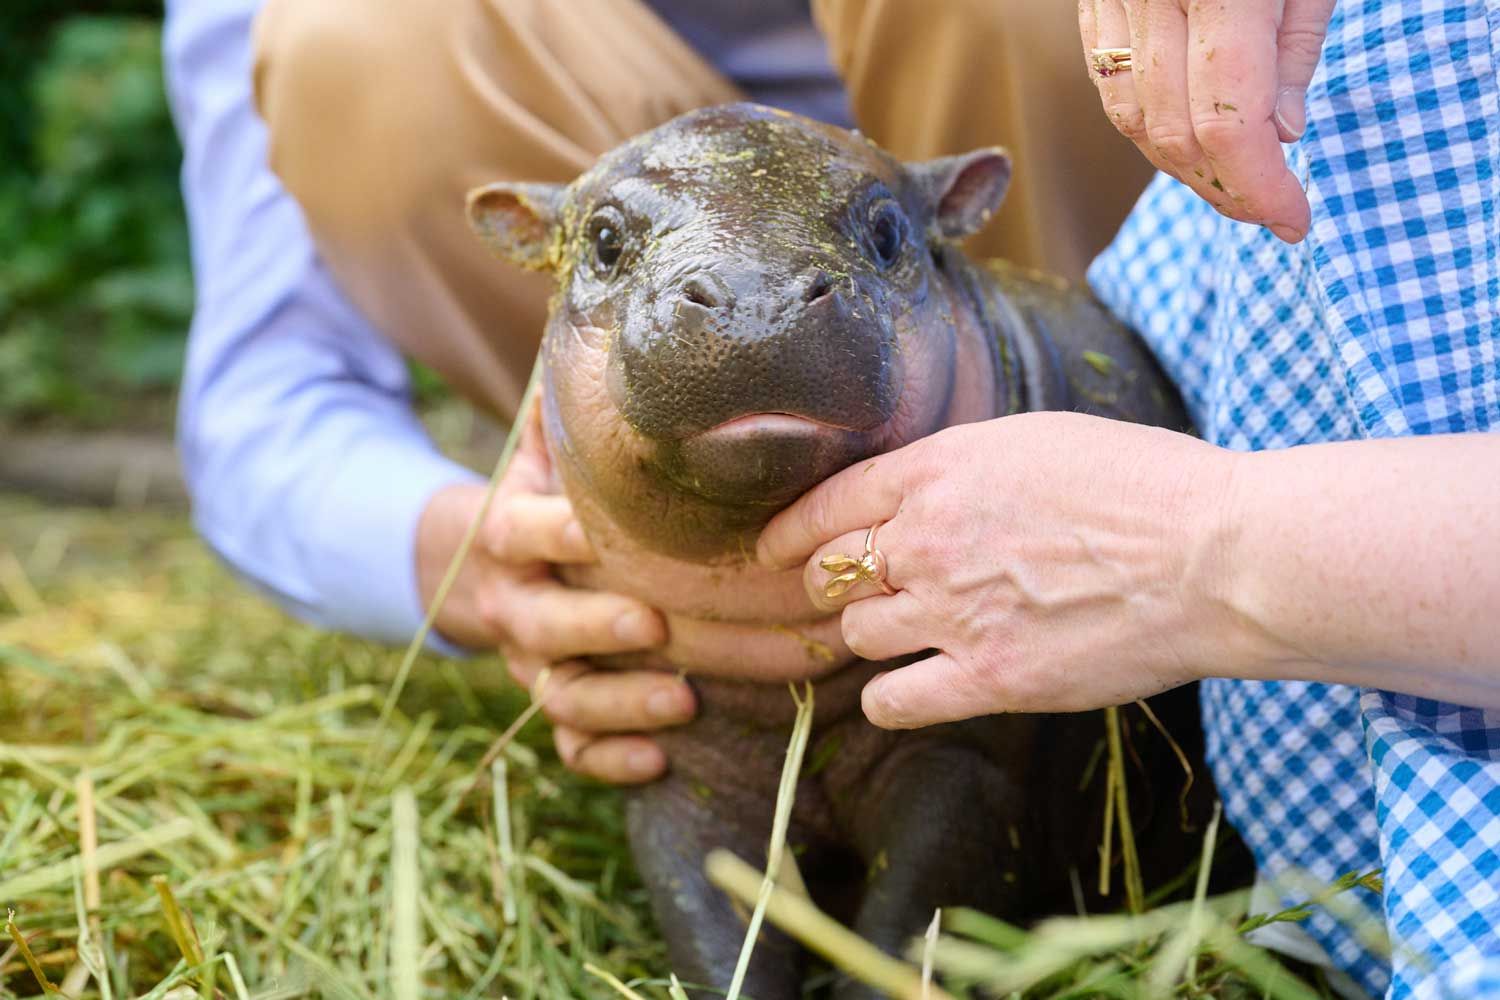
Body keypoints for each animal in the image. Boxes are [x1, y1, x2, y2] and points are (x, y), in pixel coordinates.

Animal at [466, 104, 1234, 998]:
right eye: (604, 237)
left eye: (890, 228)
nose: (755, 303)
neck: (783, 676)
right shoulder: (674, 770)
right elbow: (712, 929)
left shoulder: (963, 759)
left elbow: (912, 921)